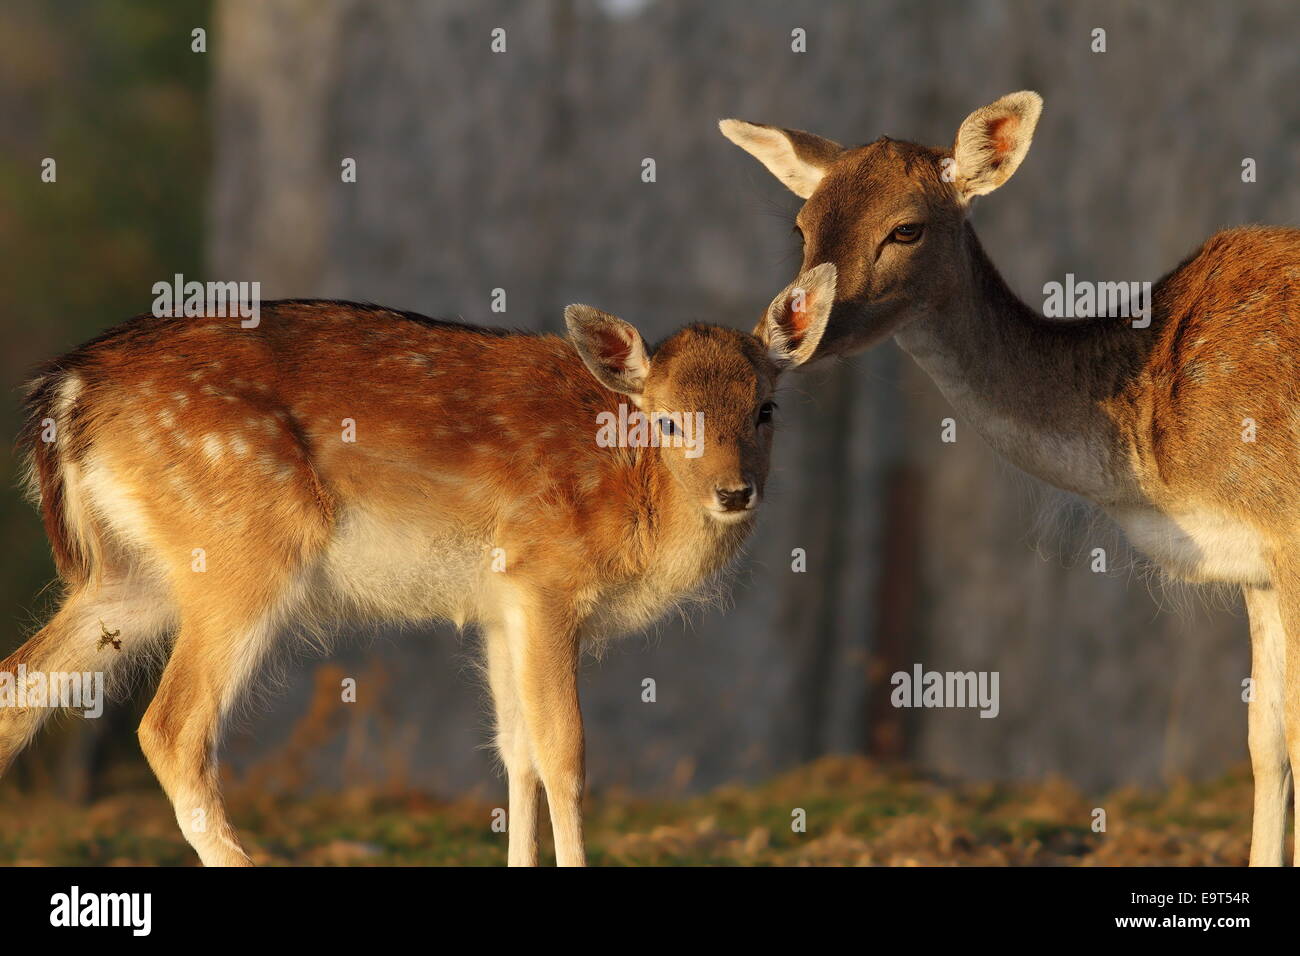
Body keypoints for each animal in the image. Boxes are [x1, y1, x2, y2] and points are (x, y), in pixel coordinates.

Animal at [0, 265, 835, 866]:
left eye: (766, 408)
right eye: (667, 420)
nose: (735, 492)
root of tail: (67, 389)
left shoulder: (501, 606)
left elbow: (516, 752)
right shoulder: (545, 577)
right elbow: (565, 754)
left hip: (129, 579)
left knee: (18, 687)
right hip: (242, 544)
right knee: (171, 729)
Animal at [721, 92, 1300, 866]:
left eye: (906, 228)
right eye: (802, 225)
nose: (786, 329)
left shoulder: (1287, 528)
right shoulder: (1255, 566)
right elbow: (1265, 739)